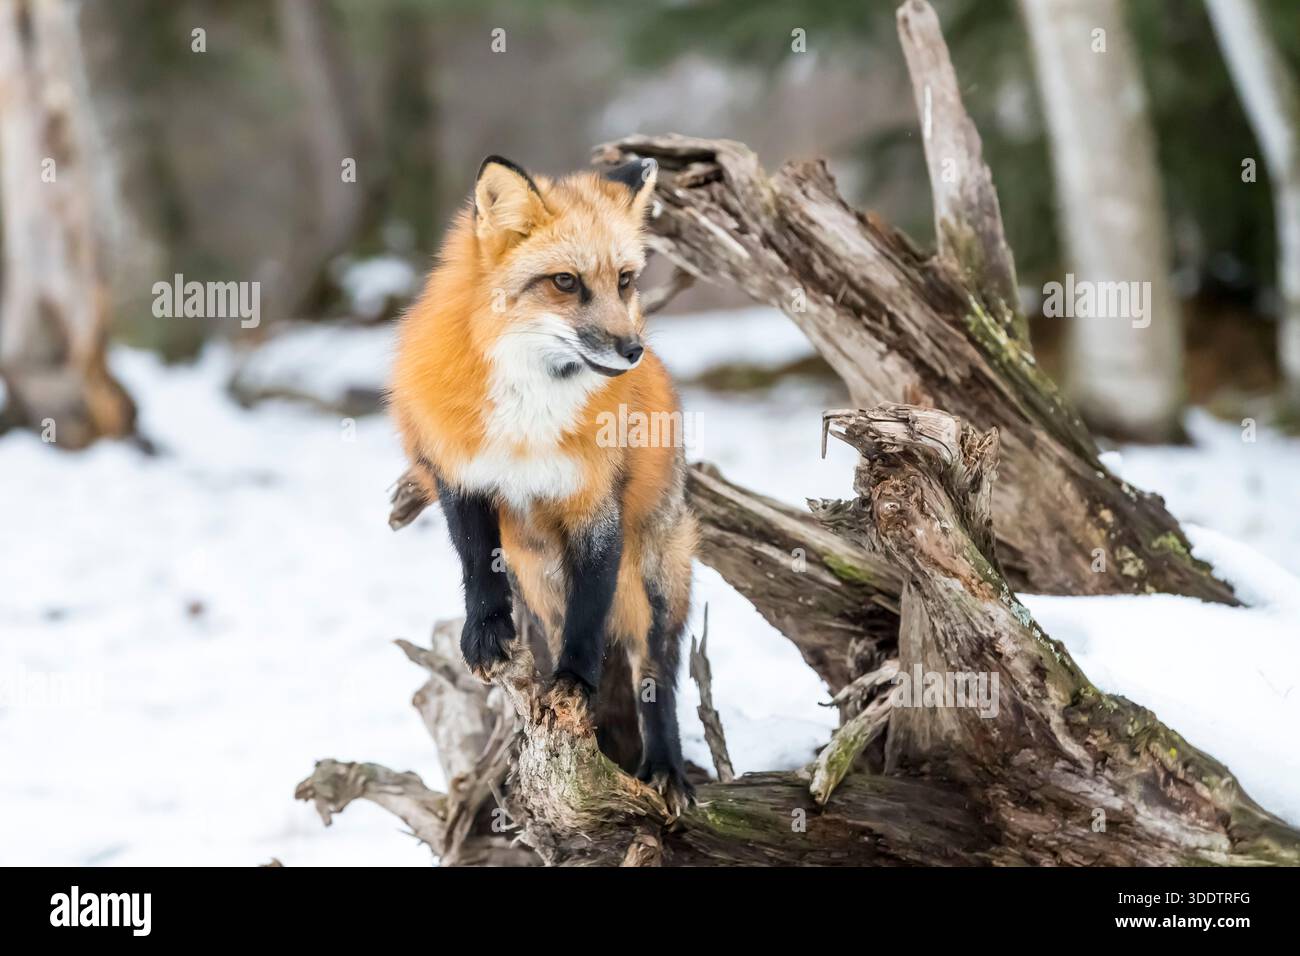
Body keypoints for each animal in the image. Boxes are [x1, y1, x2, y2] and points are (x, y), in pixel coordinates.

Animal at [389, 154, 697, 812]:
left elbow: (591, 613)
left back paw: (664, 768)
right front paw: (486, 634)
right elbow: (477, 566)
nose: (632, 349)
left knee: (654, 673)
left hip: (654, 581)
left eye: (625, 280)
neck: (531, 410)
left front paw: (575, 681)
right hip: (540, 576)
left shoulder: (594, 503)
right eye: (565, 282)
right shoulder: (462, 478)